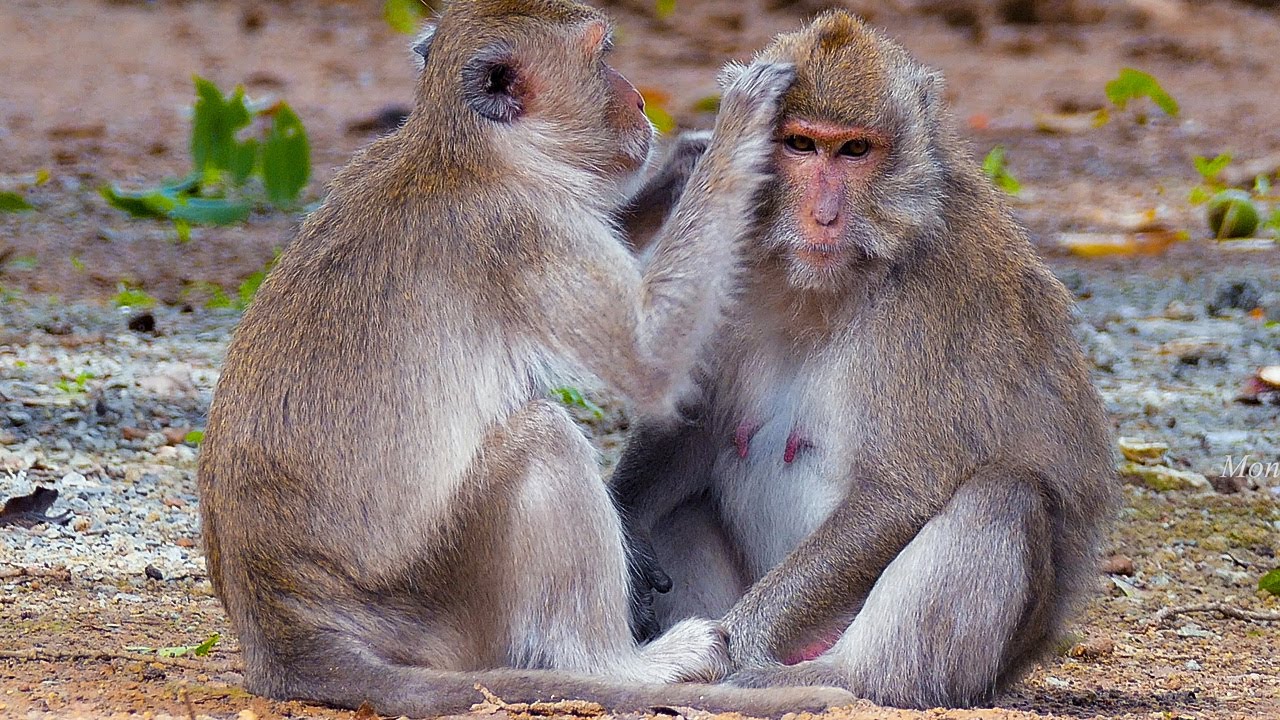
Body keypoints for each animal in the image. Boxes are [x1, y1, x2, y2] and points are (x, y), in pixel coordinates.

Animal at [197, 0, 857, 716]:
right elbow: (649, 357)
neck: (468, 152)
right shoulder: (528, 228)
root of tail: (286, 627)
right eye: (601, 58)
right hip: (443, 600)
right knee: (544, 439)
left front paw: (683, 168)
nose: (635, 97)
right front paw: (742, 123)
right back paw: (627, 666)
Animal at [612, 10, 1117, 710]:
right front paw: (626, 531)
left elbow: (897, 493)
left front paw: (726, 647)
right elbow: (691, 429)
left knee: (1004, 496)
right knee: (682, 505)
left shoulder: (931, 300)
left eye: (854, 151)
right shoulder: (728, 260)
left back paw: (849, 678)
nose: (824, 216)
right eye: (801, 145)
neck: (825, 286)